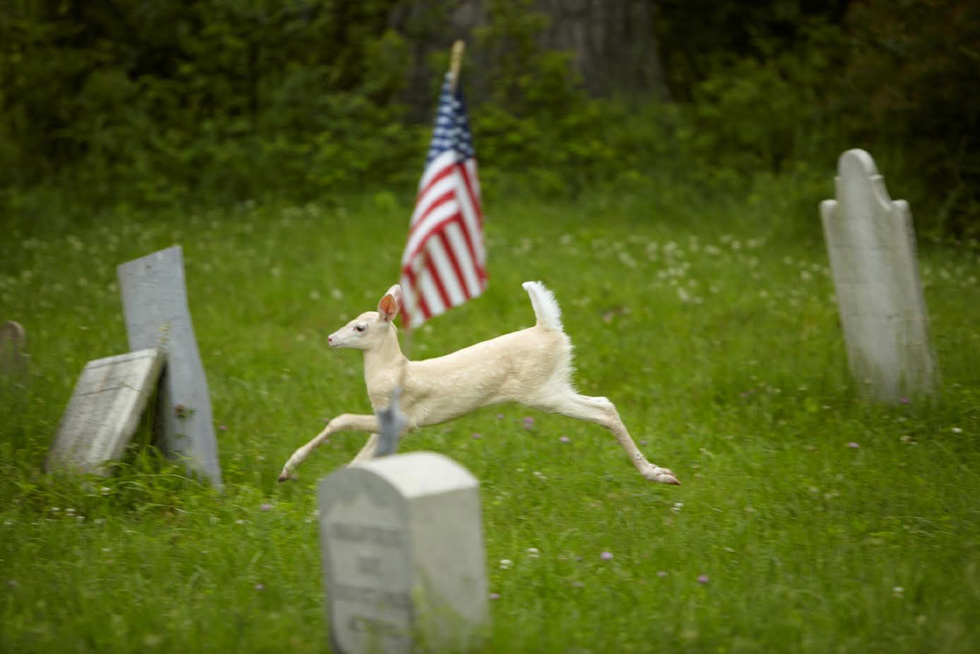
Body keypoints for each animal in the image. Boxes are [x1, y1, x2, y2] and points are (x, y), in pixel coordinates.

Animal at [278, 281, 680, 486]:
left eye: (360, 328)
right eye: (350, 321)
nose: (331, 338)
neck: (392, 370)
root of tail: (548, 328)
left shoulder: (405, 419)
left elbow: (340, 419)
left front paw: (286, 470)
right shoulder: (389, 423)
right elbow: (361, 459)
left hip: (542, 390)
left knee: (604, 408)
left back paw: (658, 474)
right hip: (554, 384)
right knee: (605, 404)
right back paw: (659, 473)